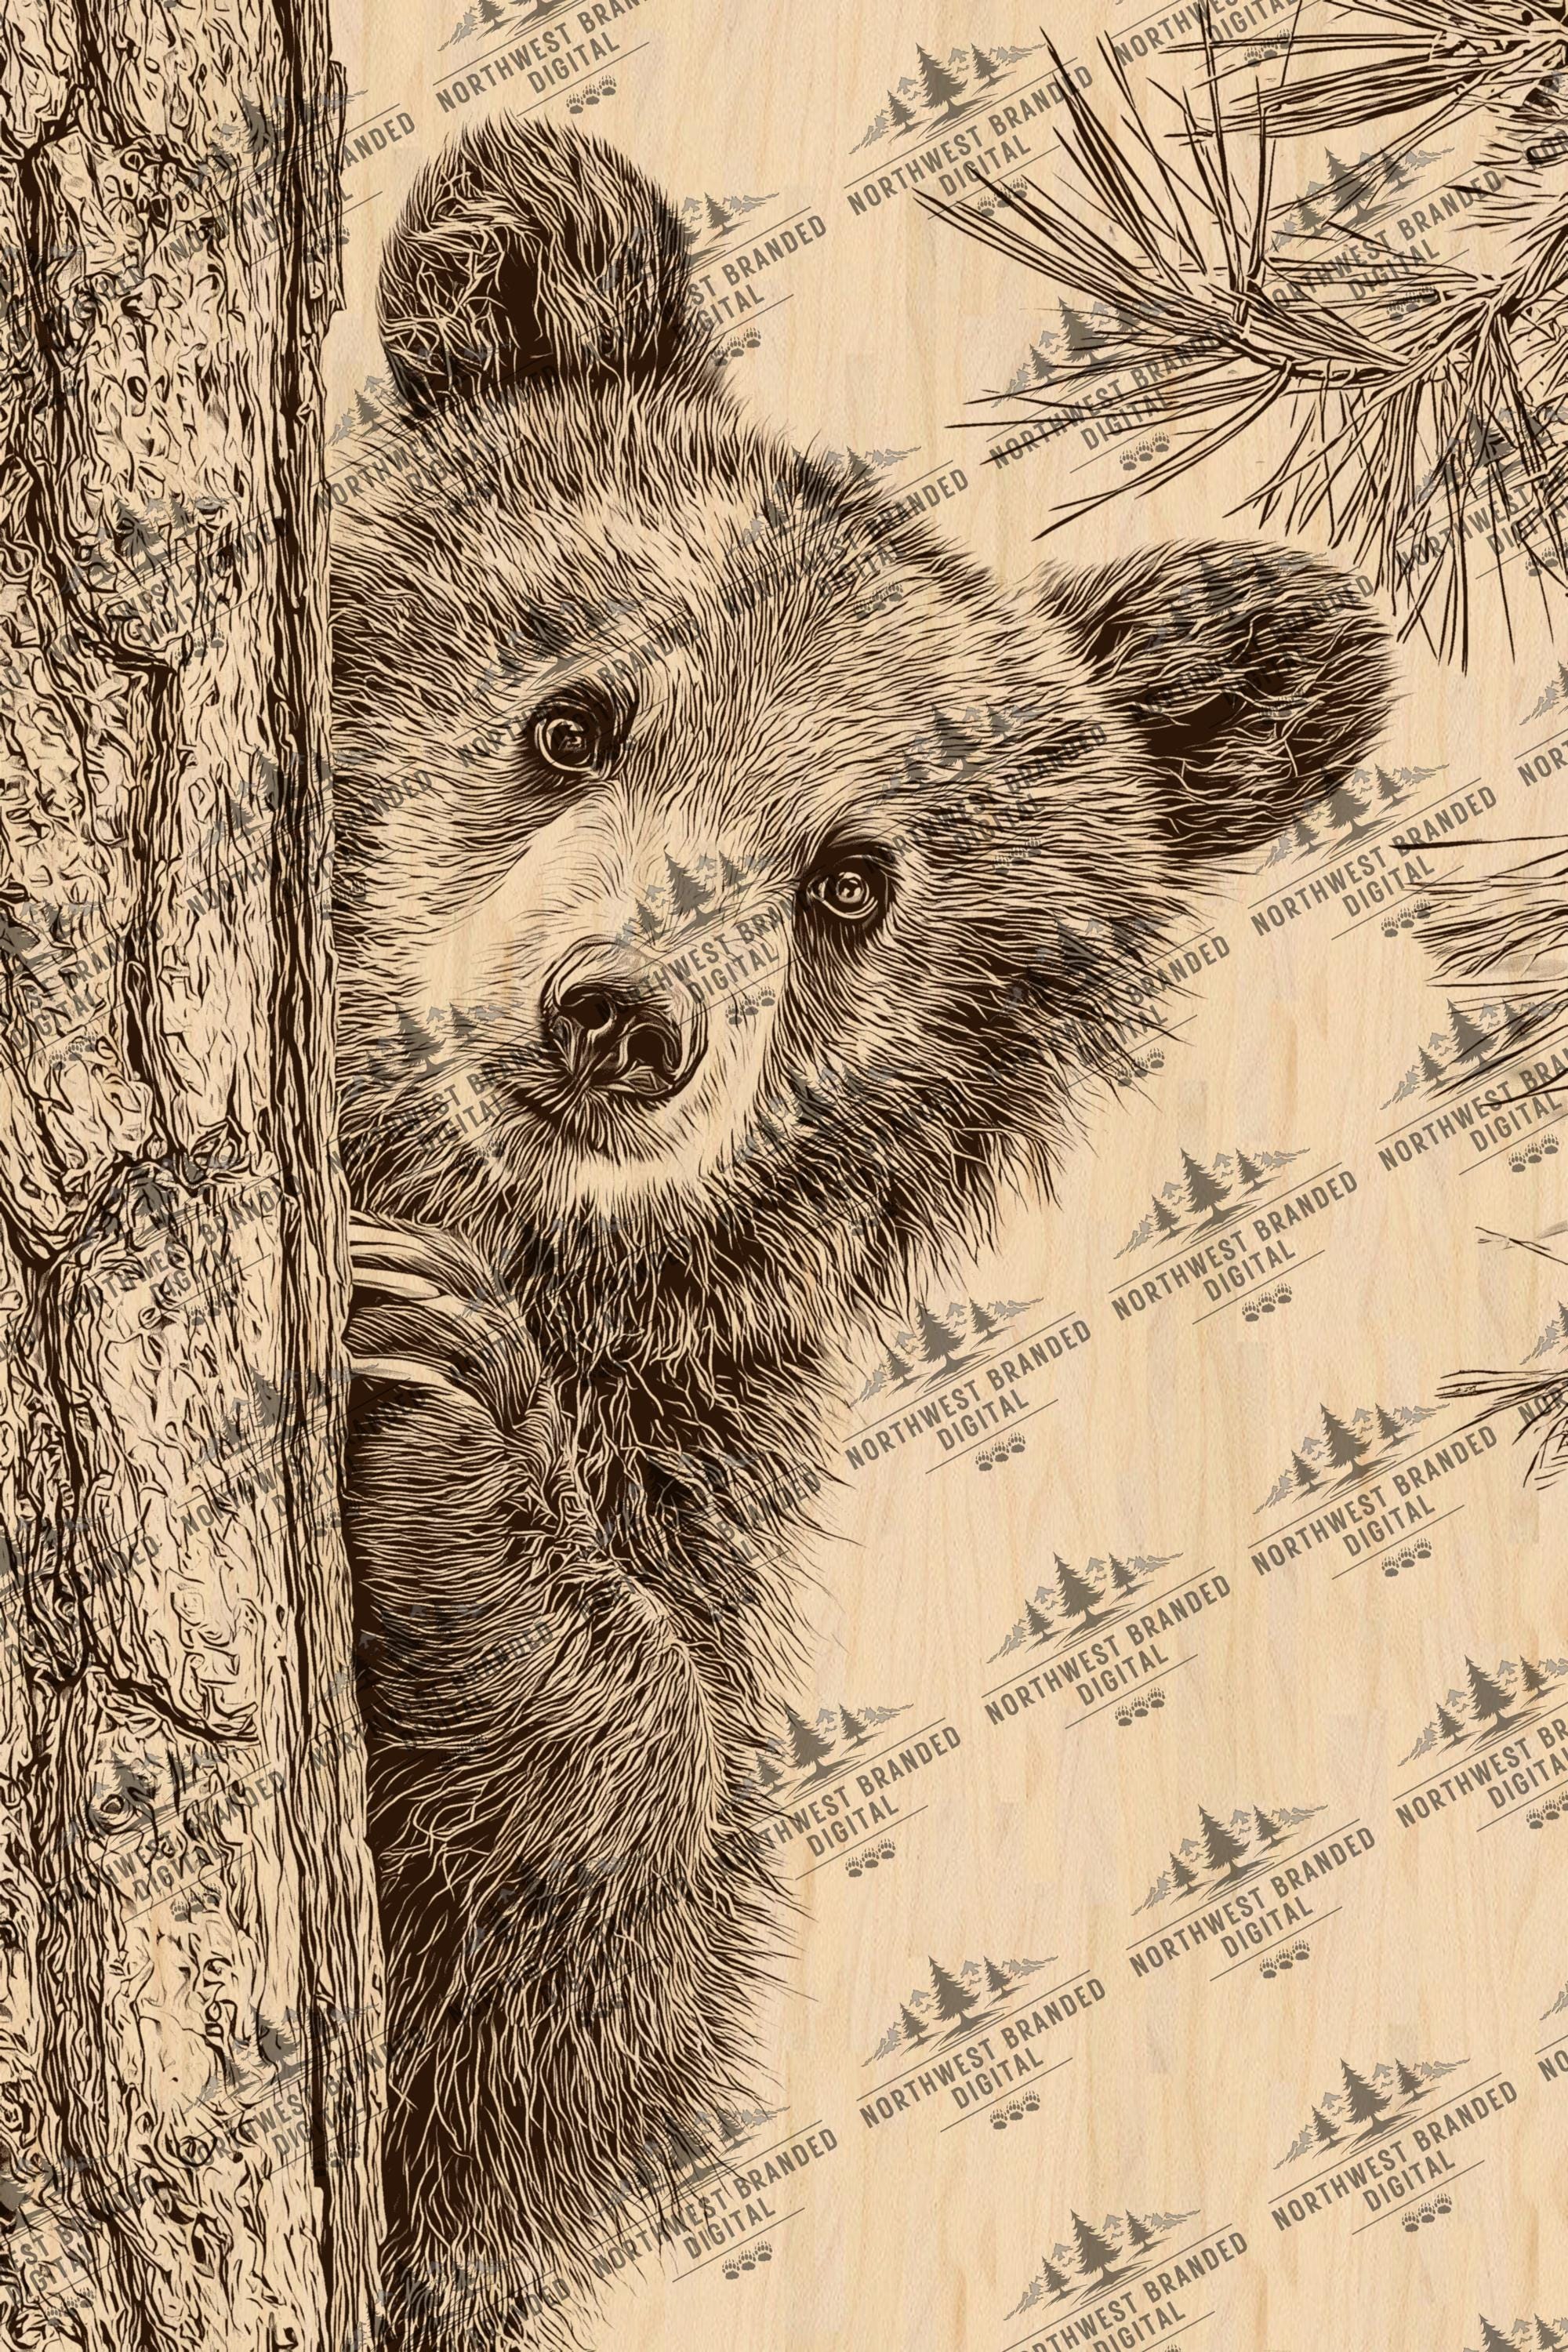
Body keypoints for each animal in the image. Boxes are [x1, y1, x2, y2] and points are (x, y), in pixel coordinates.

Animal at [328, 114, 1392, 2351]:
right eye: (572, 717)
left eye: (851, 880)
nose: (619, 1019)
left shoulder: (682, 1439)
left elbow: (571, 2000)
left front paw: (440, 1401)